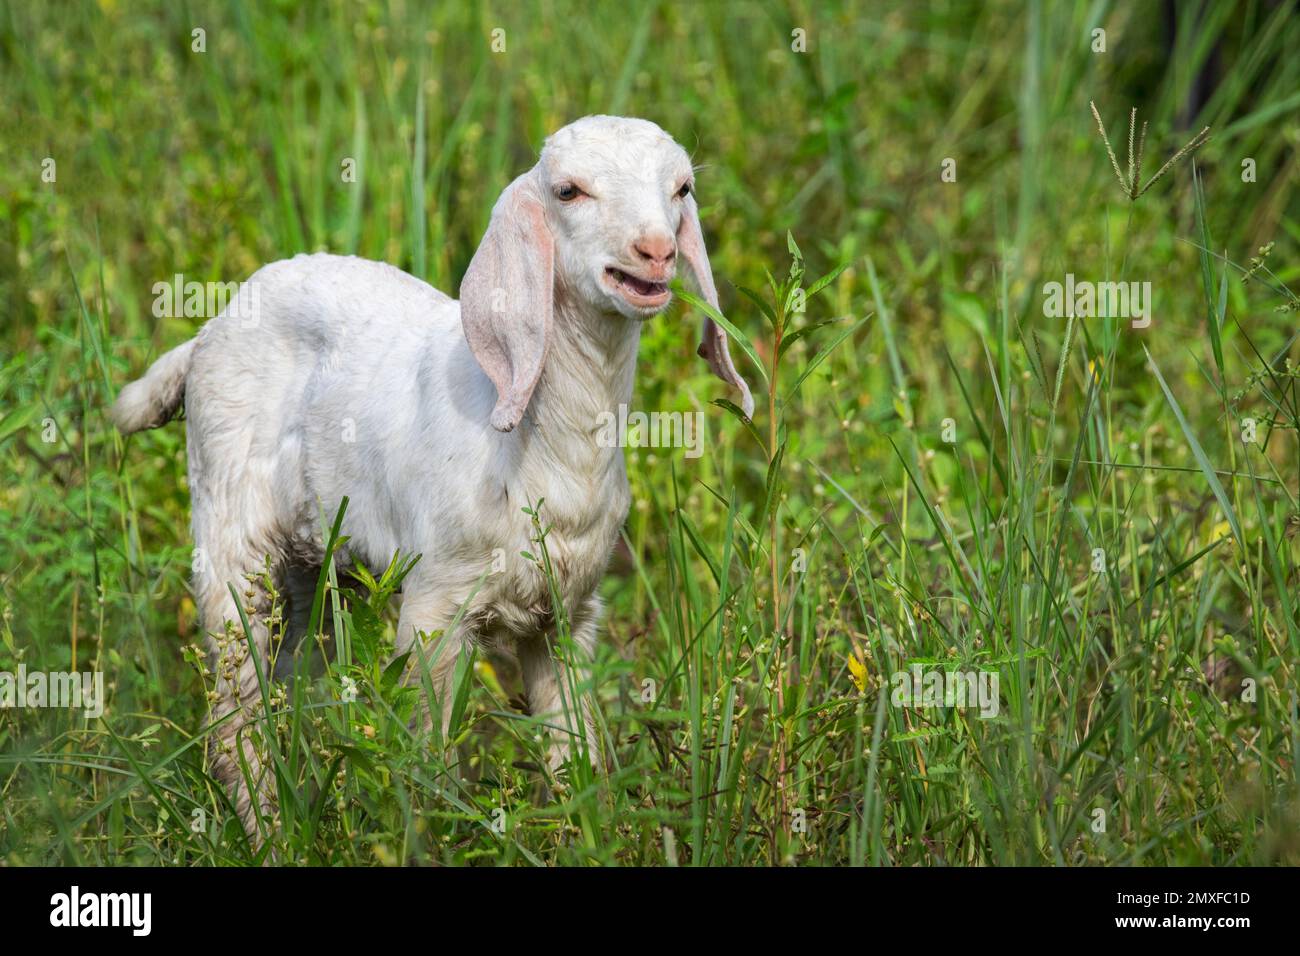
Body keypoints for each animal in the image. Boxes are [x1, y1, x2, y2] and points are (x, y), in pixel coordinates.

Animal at [111, 115, 753, 842]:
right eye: (568, 190)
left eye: (682, 189)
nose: (654, 252)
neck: (536, 448)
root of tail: (205, 332)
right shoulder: (434, 605)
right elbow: (427, 761)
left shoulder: (569, 612)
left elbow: (573, 760)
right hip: (229, 531)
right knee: (234, 712)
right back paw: (272, 836)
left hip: (307, 568)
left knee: (283, 682)